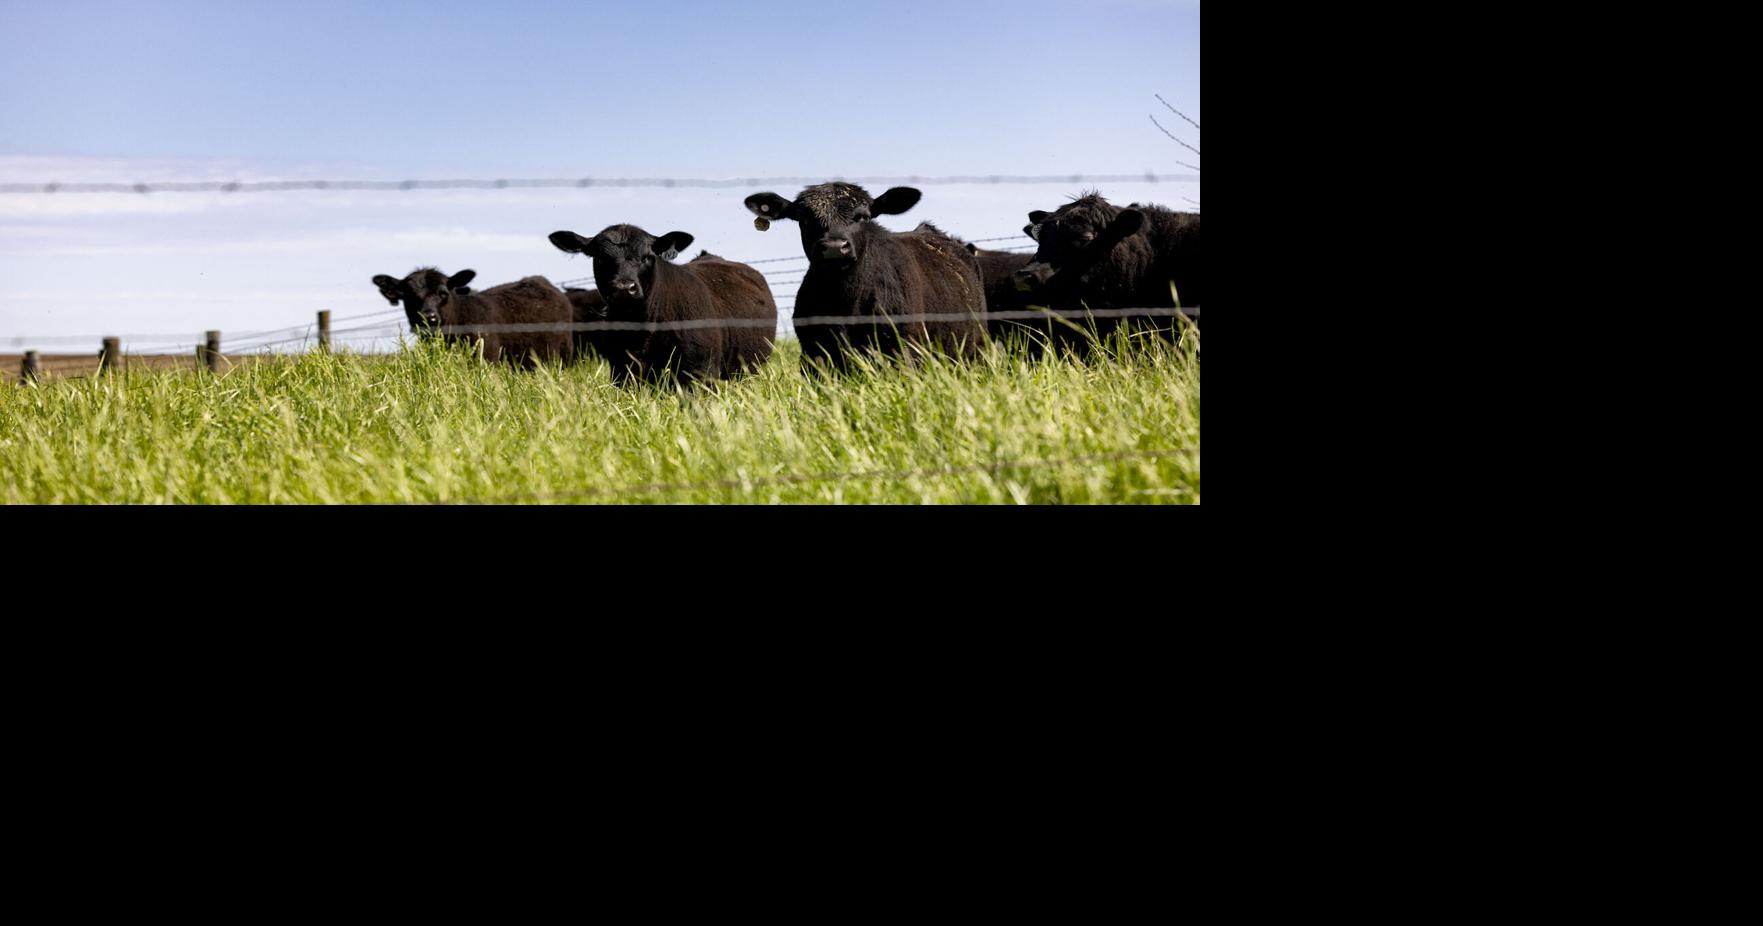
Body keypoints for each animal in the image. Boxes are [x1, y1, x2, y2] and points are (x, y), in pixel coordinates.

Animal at [742, 183, 985, 370]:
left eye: (862, 217)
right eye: (804, 219)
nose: (834, 247)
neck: (845, 306)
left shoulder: (905, 351)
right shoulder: (813, 355)